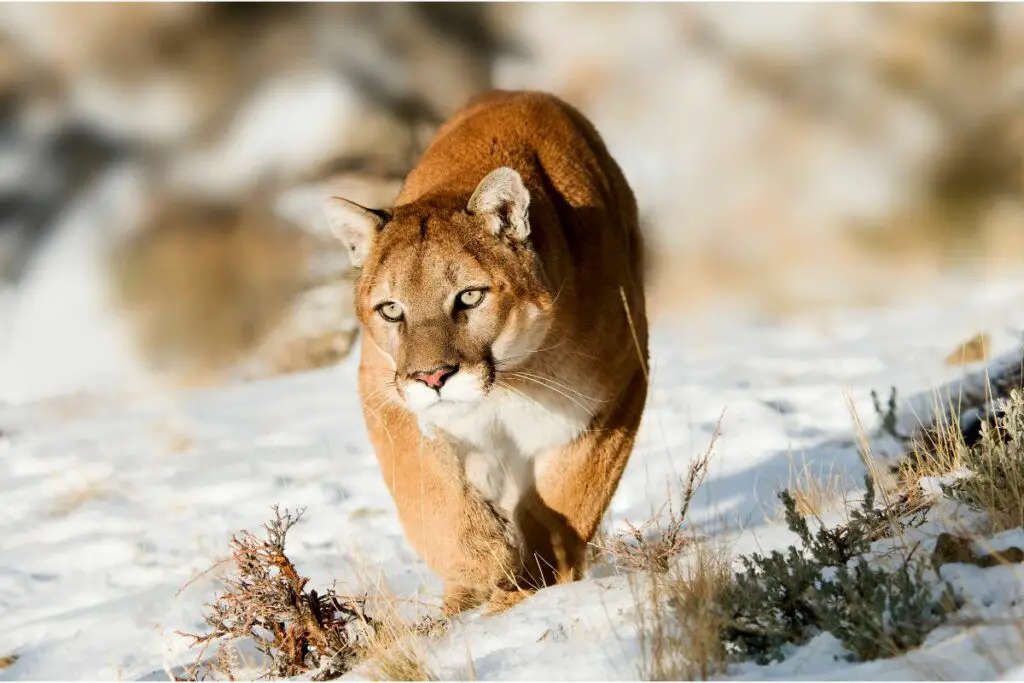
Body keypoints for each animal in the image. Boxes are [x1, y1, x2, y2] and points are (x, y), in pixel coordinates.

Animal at [325, 90, 648, 615]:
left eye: (470, 297)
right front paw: (483, 564)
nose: (433, 377)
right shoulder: (384, 393)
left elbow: (572, 492)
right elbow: (428, 493)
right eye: (391, 310)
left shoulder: (617, 391)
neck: (507, 386)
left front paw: (538, 577)